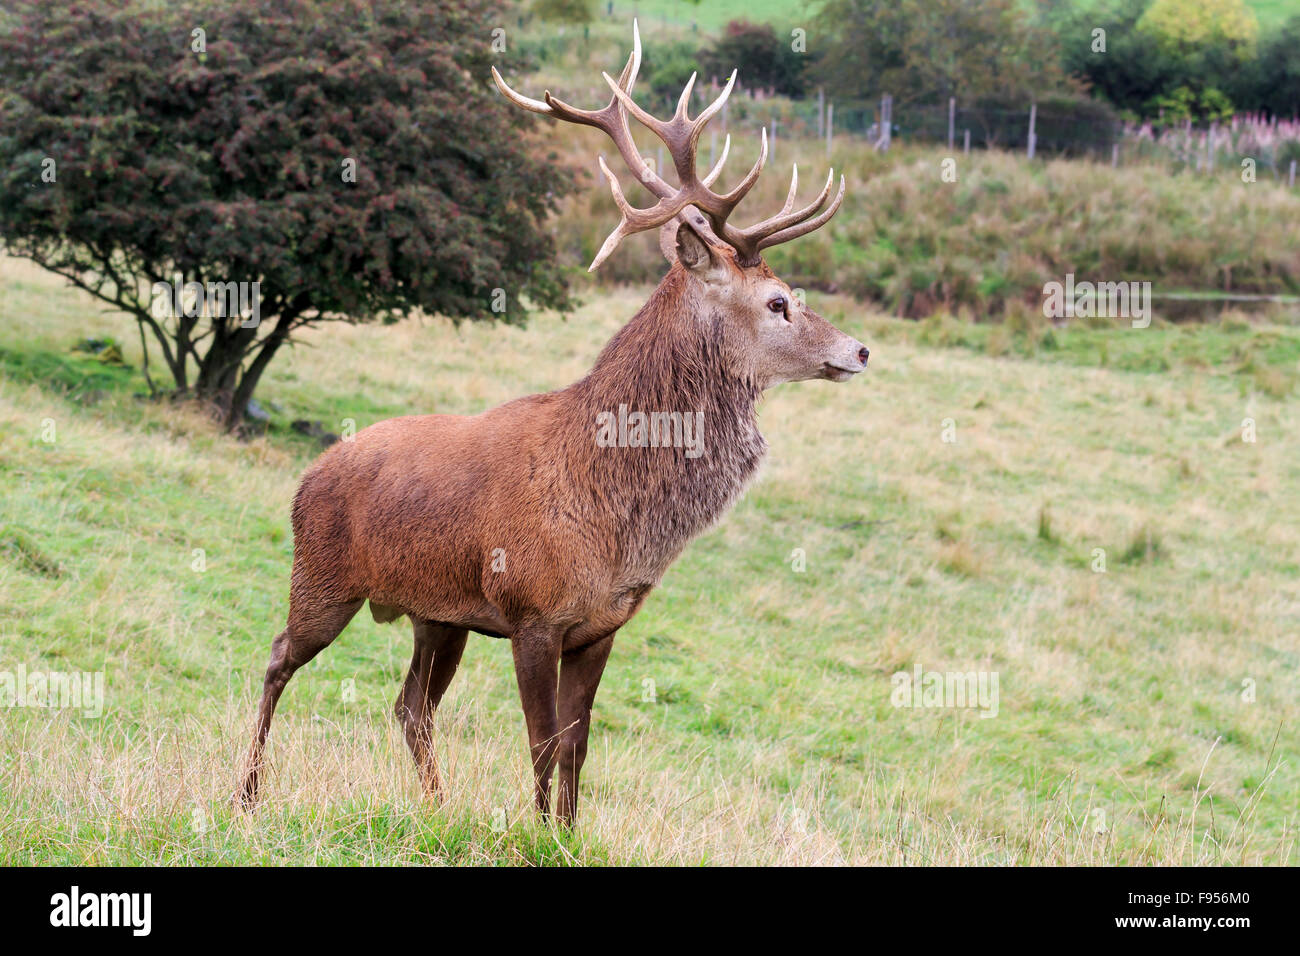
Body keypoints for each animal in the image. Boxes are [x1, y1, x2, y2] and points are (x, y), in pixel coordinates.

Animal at [238, 22, 869, 825]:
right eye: (779, 303)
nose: (860, 349)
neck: (615, 513)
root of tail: (307, 475)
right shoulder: (532, 613)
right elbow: (540, 742)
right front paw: (536, 833)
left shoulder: (601, 626)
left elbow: (576, 746)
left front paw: (567, 832)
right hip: (322, 577)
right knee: (277, 658)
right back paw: (248, 792)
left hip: (436, 614)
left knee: (411, 706)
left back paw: (436, 808)